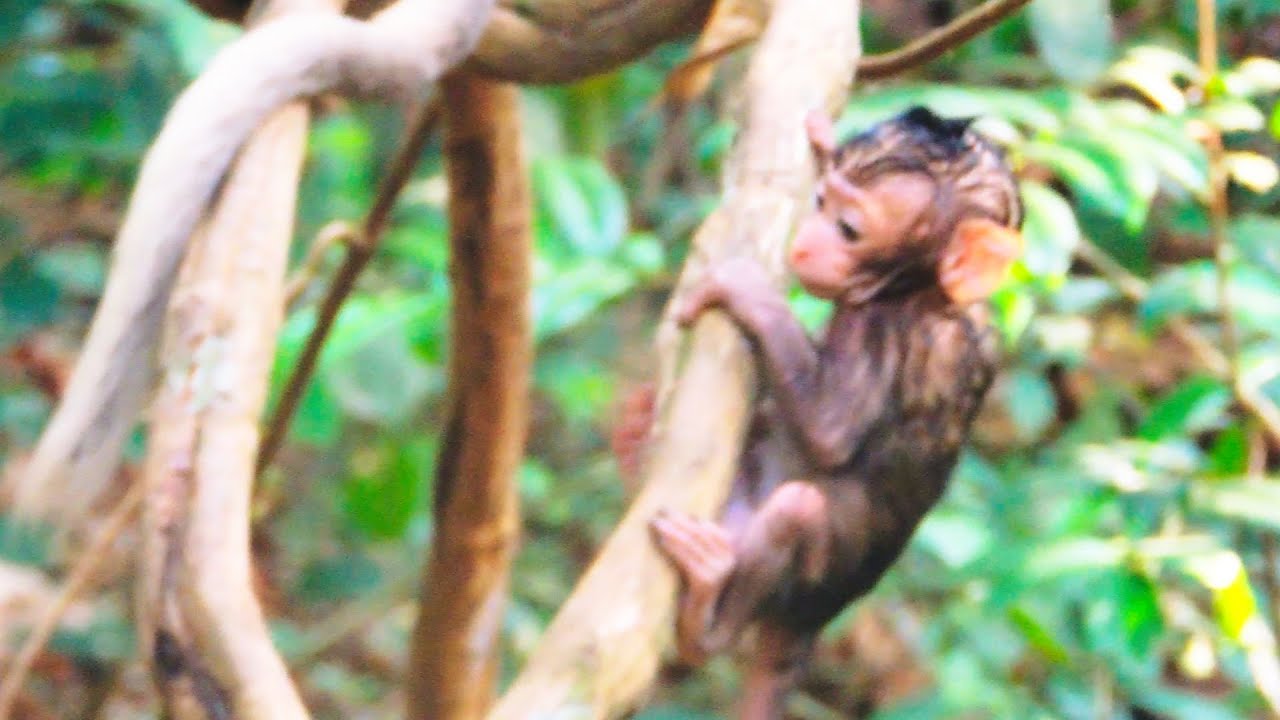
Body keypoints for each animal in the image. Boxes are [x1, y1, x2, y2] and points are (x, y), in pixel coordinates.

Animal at [648, 106, 1023, 719]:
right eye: (821, 201)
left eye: (848, 229)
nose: (805, 245)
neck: (922, 292)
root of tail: (817, 622)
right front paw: (825, 141)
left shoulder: (886, 328)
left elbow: (829, 431)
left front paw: (749, 292)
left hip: (810, 581)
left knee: (799, 509)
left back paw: (707, 623)